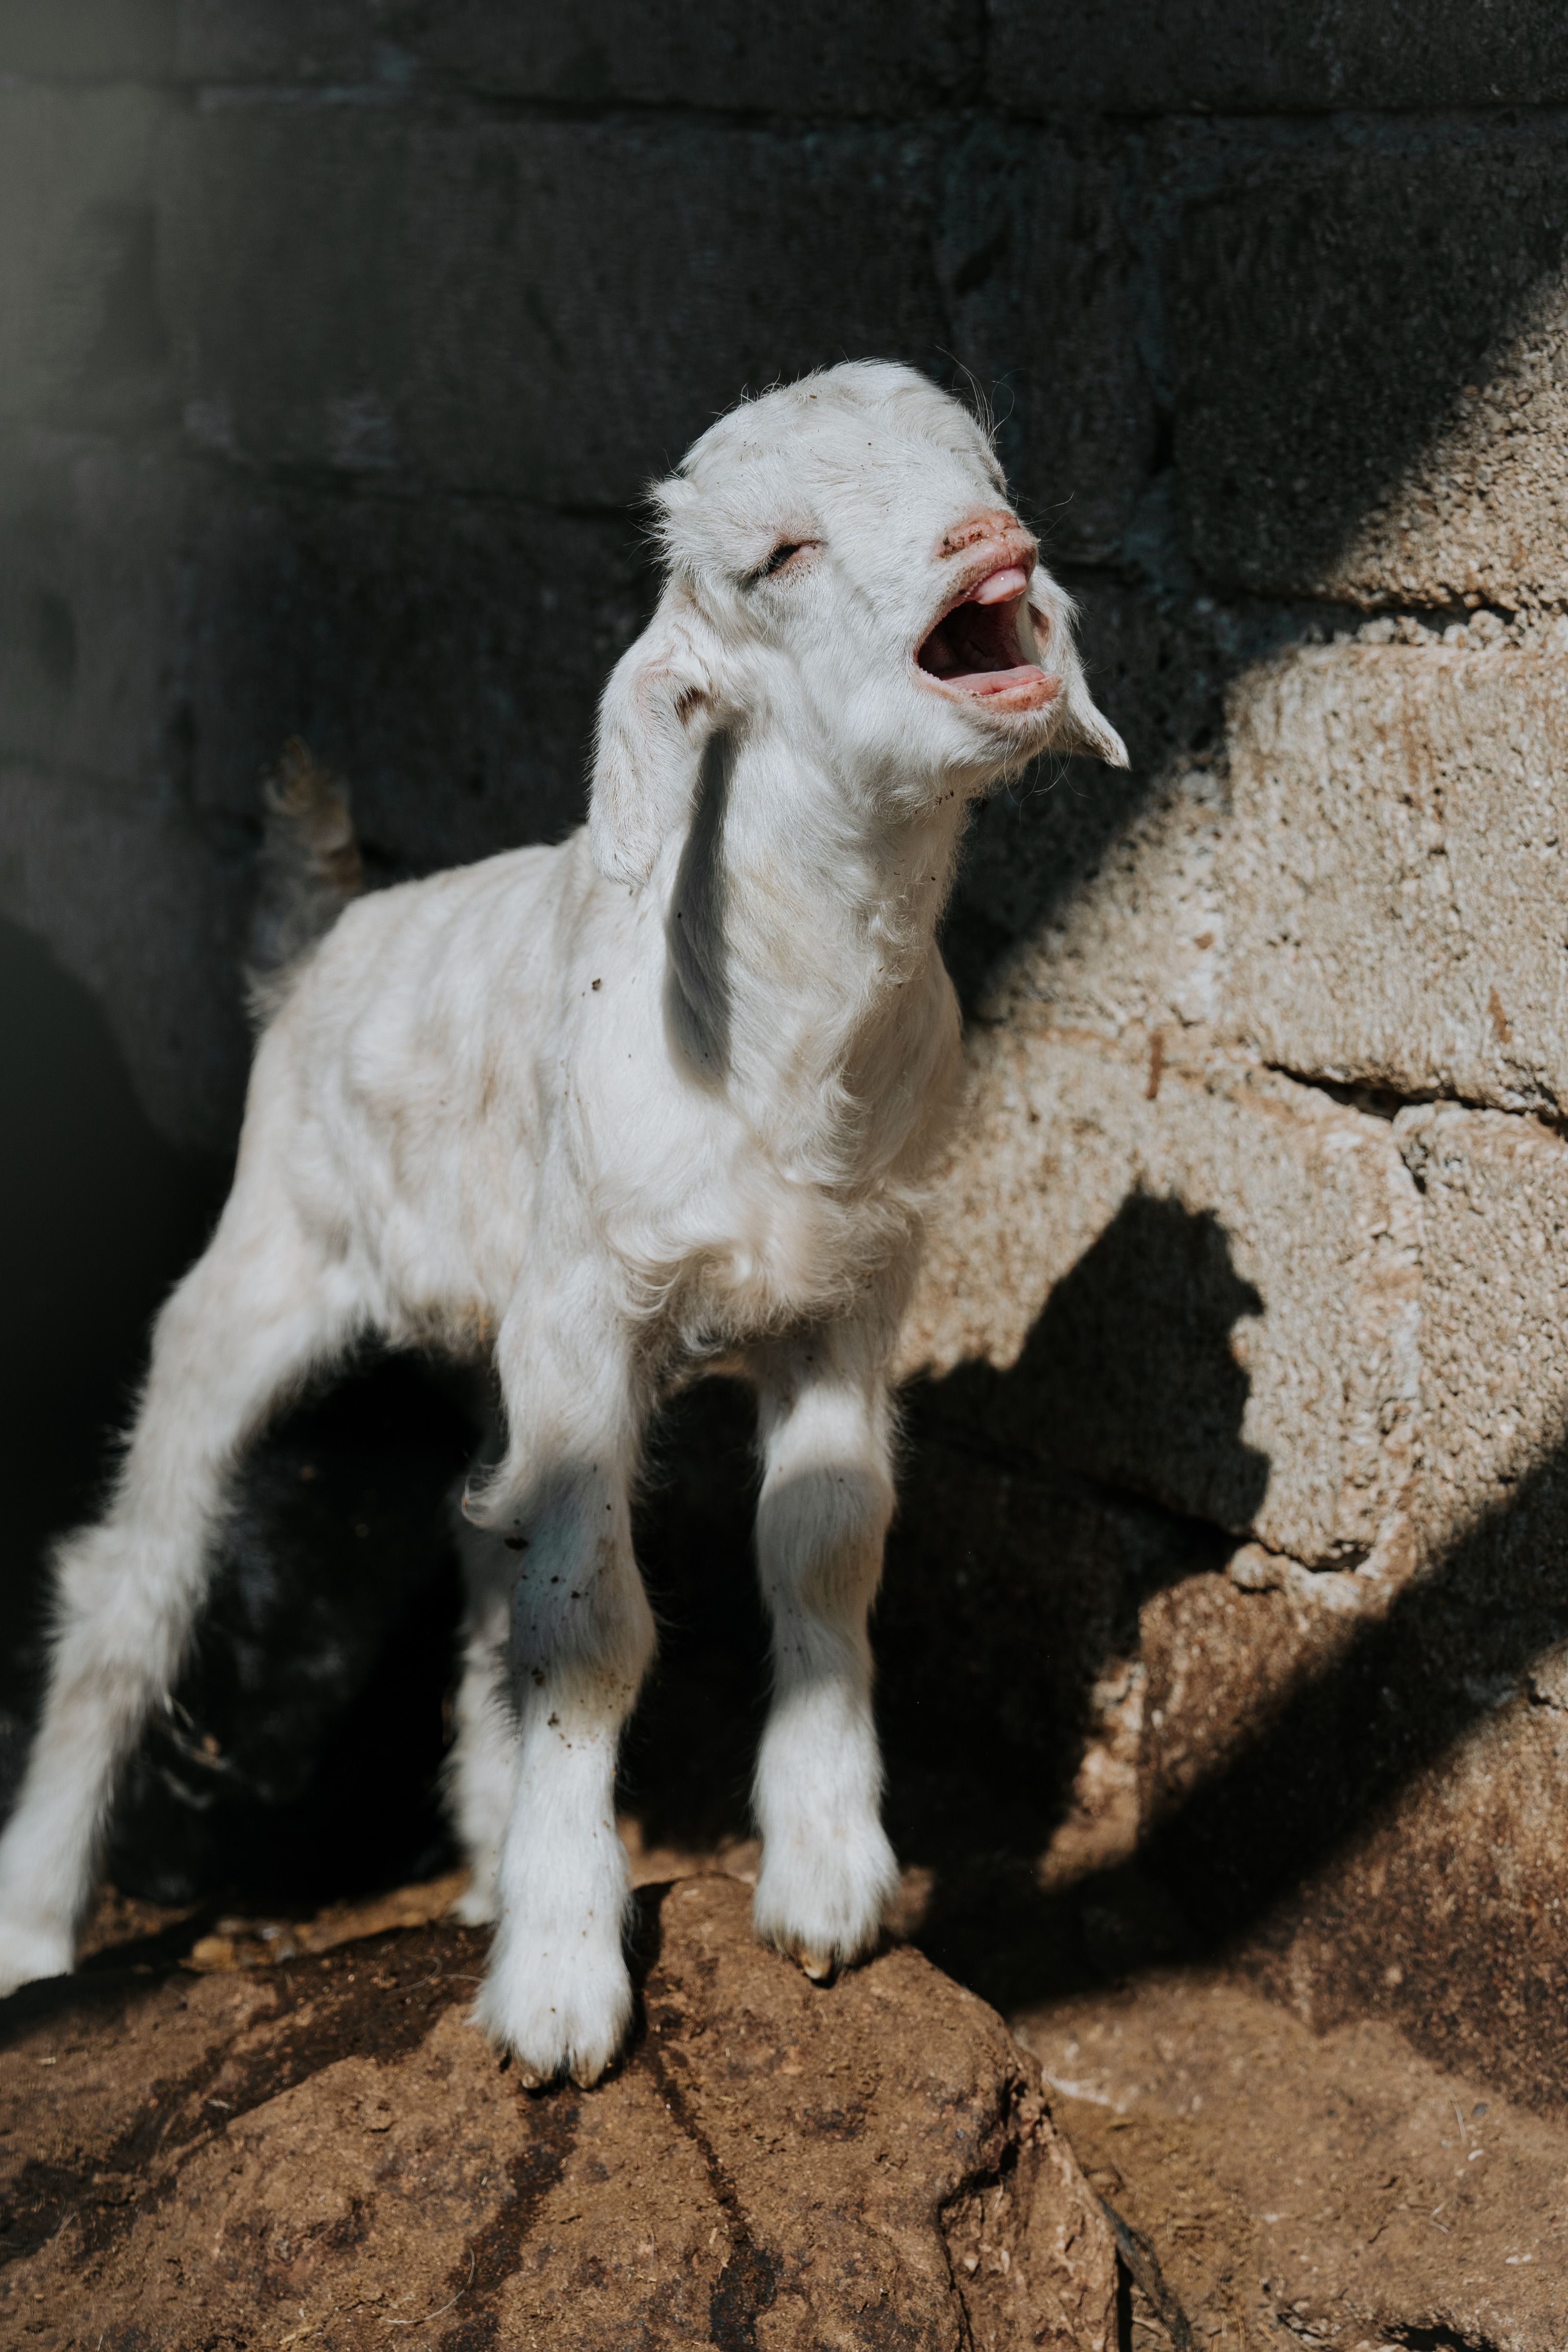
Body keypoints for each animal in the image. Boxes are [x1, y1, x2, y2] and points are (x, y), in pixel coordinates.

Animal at [0, 361, 1126, 2086]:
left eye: (983, 467)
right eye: (776, 556)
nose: (987, 545)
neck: (783, 1025)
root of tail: (327, 934)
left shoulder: (848, 1295)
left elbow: (821, 1554)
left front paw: (824, 1883)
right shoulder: (590, 1305)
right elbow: (589, 1624)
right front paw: (559, 1984)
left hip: (490, 1321)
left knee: (481, 1544)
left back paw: (479, 1853)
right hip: (260, 1273)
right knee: (134, 1593)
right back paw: (36, 1935)